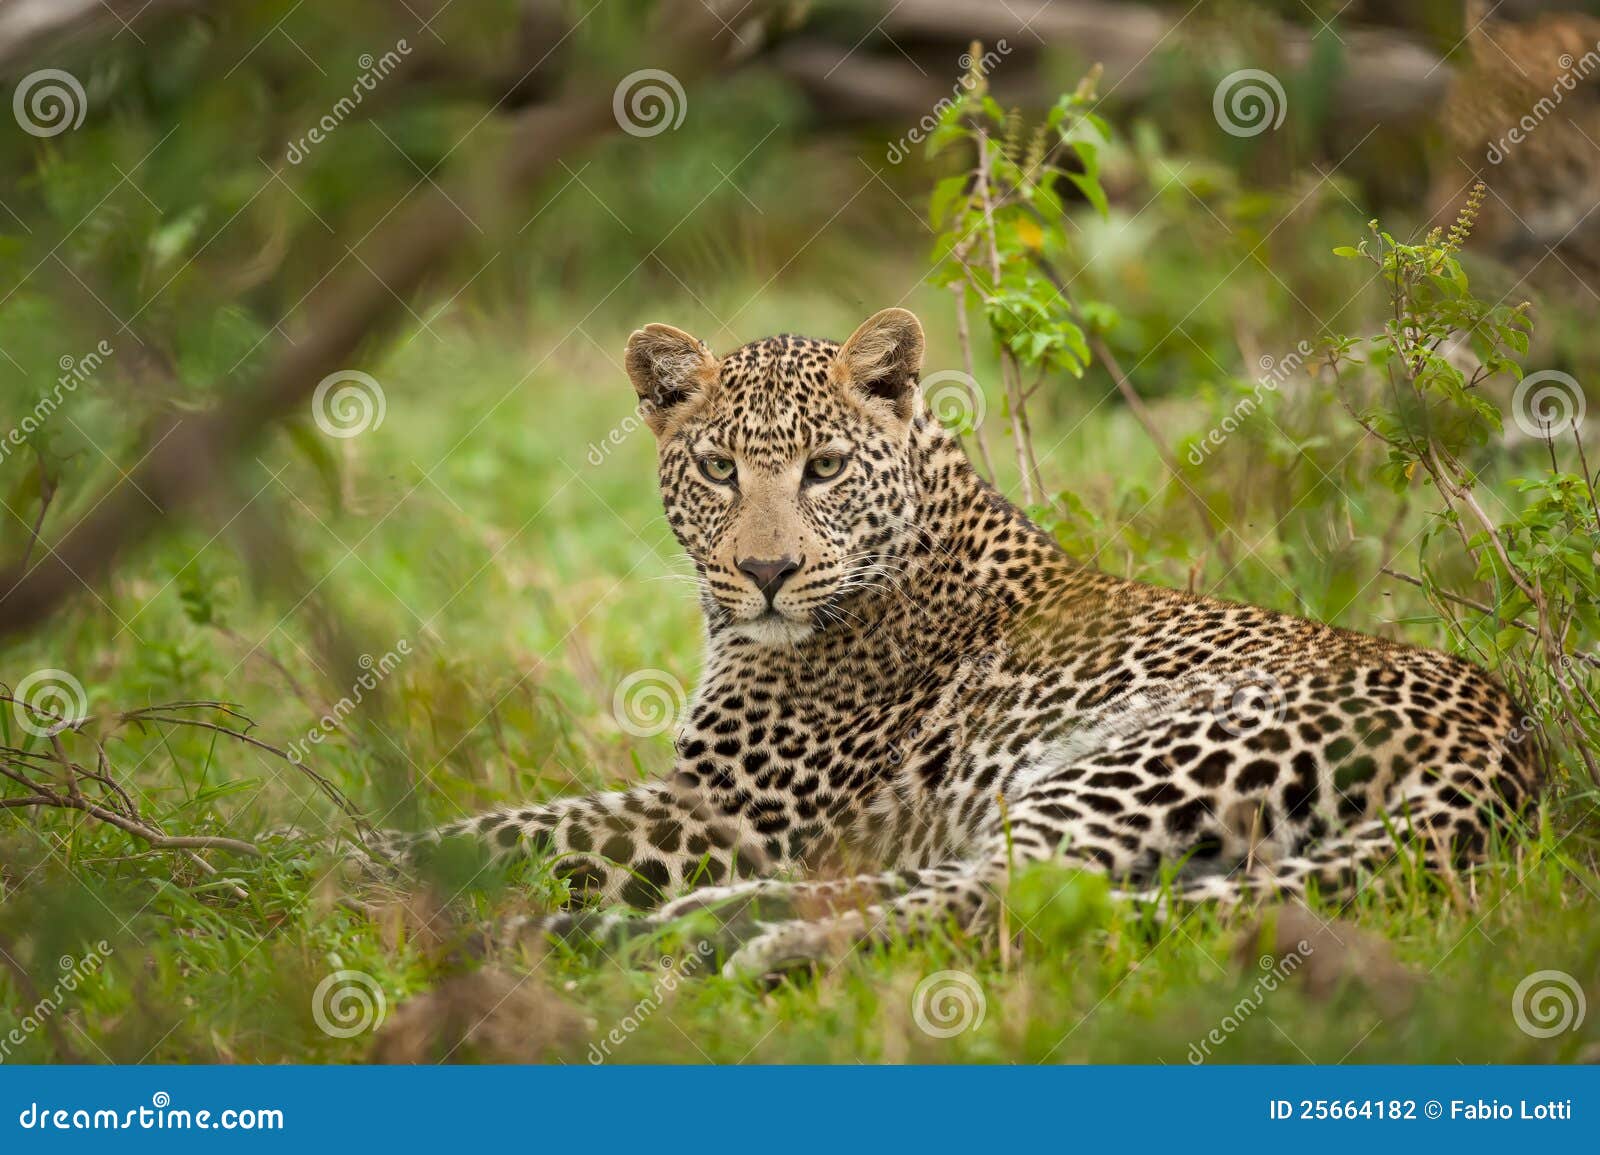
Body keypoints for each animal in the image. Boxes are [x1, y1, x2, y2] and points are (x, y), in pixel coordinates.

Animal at [379, 307, 1543, 976]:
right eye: (717, 470)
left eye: (825, 468)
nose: (766, 571)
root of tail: (1509, 744)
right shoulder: (723, 815)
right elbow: (507, 825)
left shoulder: (728, 814)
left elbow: (507, 832)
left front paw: (348, 870)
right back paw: (661, 933)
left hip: (1133, 760)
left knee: (1010, 896)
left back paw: (753, 950)